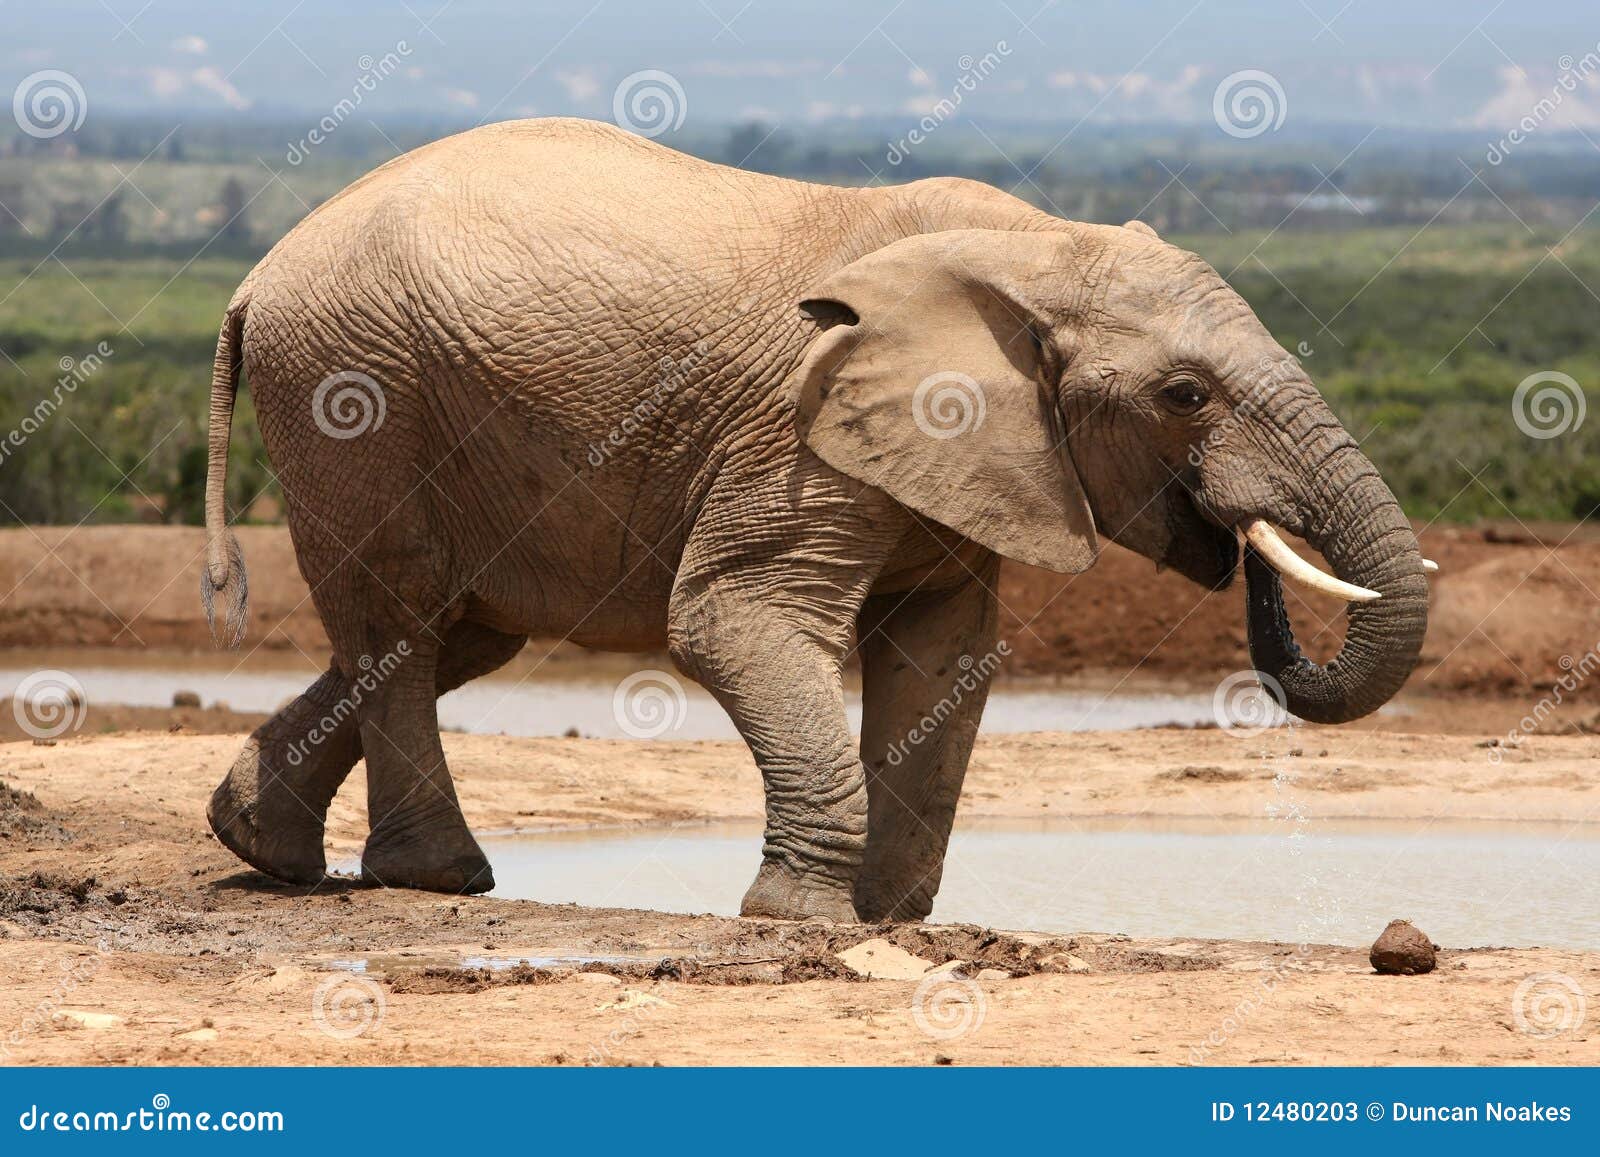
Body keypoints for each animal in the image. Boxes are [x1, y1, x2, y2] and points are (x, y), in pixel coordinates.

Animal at [200, 117, 1430, 923]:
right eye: (1185, 396)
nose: (1243, 538)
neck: (1032, 248)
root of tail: (255, 275)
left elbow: (942, 654)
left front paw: (889, 918)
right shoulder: (798, 432)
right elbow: (733, 616)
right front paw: (802, 918)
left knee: (462, 629)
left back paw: (256, 842)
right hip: (356, 397)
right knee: (402, 616)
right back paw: (439, 879)